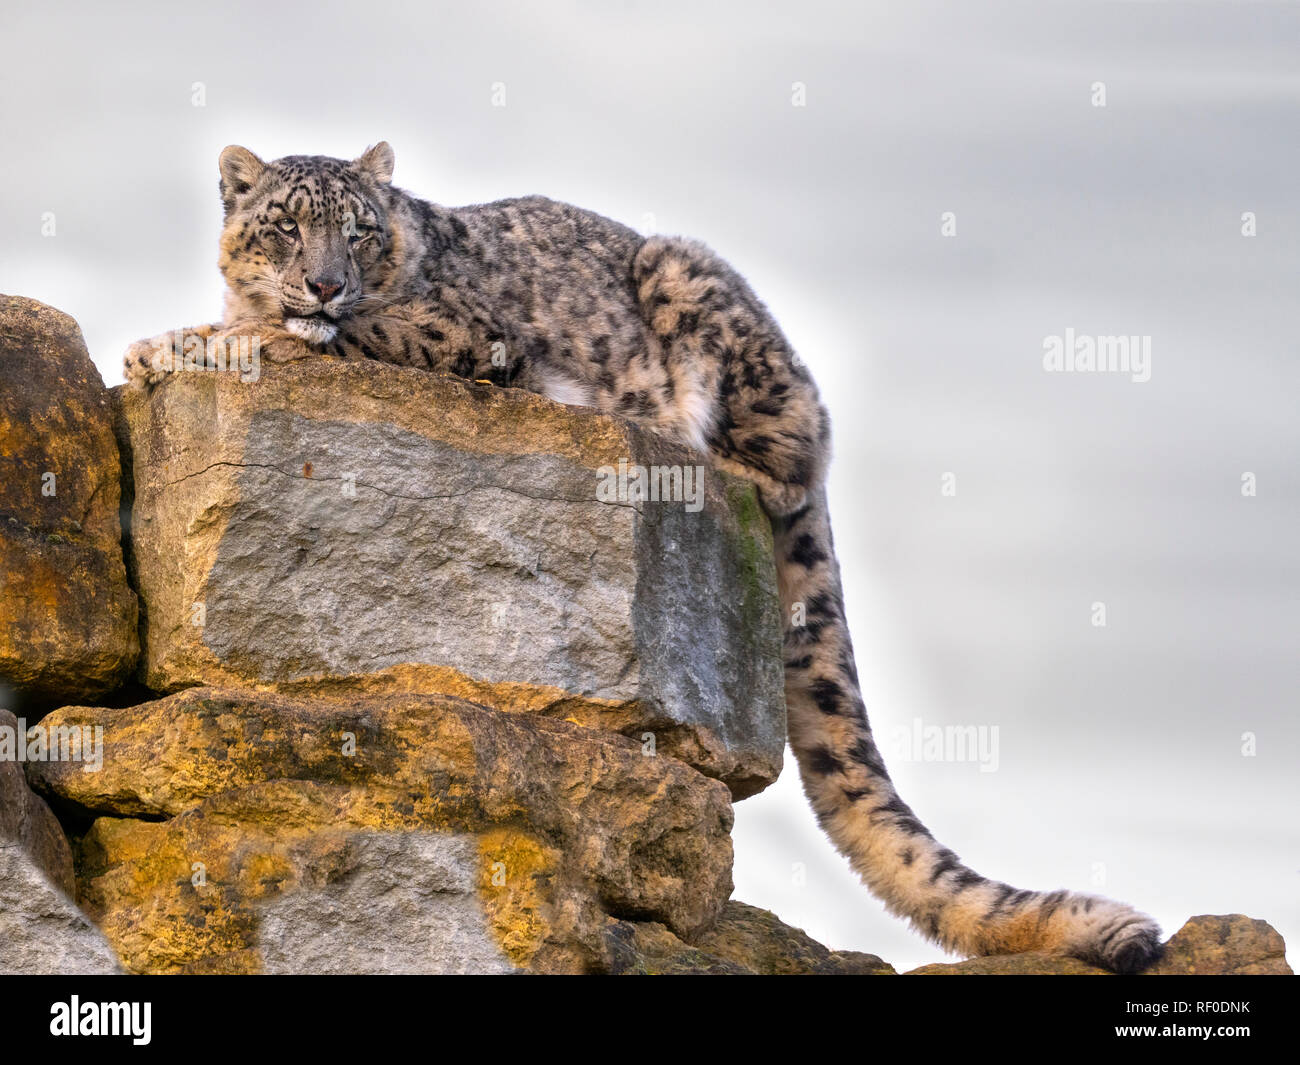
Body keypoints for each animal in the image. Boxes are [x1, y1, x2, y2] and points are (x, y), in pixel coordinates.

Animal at [124, 142, 1163, 972]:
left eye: (361, 232)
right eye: (283, 227)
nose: (326, 284)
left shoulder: (460, 332)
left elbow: (326, 340)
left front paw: (212, 338)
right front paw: (160, 345)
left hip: (699, 295)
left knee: (784, 461)